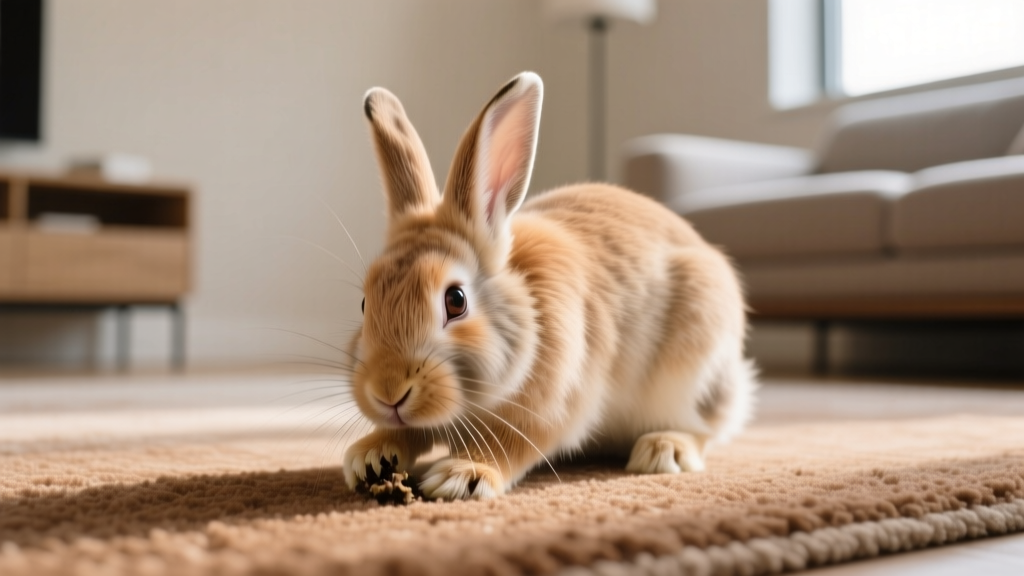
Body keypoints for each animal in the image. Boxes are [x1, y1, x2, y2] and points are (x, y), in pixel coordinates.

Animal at [342, 71, 756, 500]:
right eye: (364, 304)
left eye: (456, 301)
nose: (388, 393)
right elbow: (410, 433)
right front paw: (368, 457)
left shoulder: (552, 406)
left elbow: (512, 444)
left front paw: (462, 475)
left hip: (696, 370)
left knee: (707, 428)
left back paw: (663, 450)